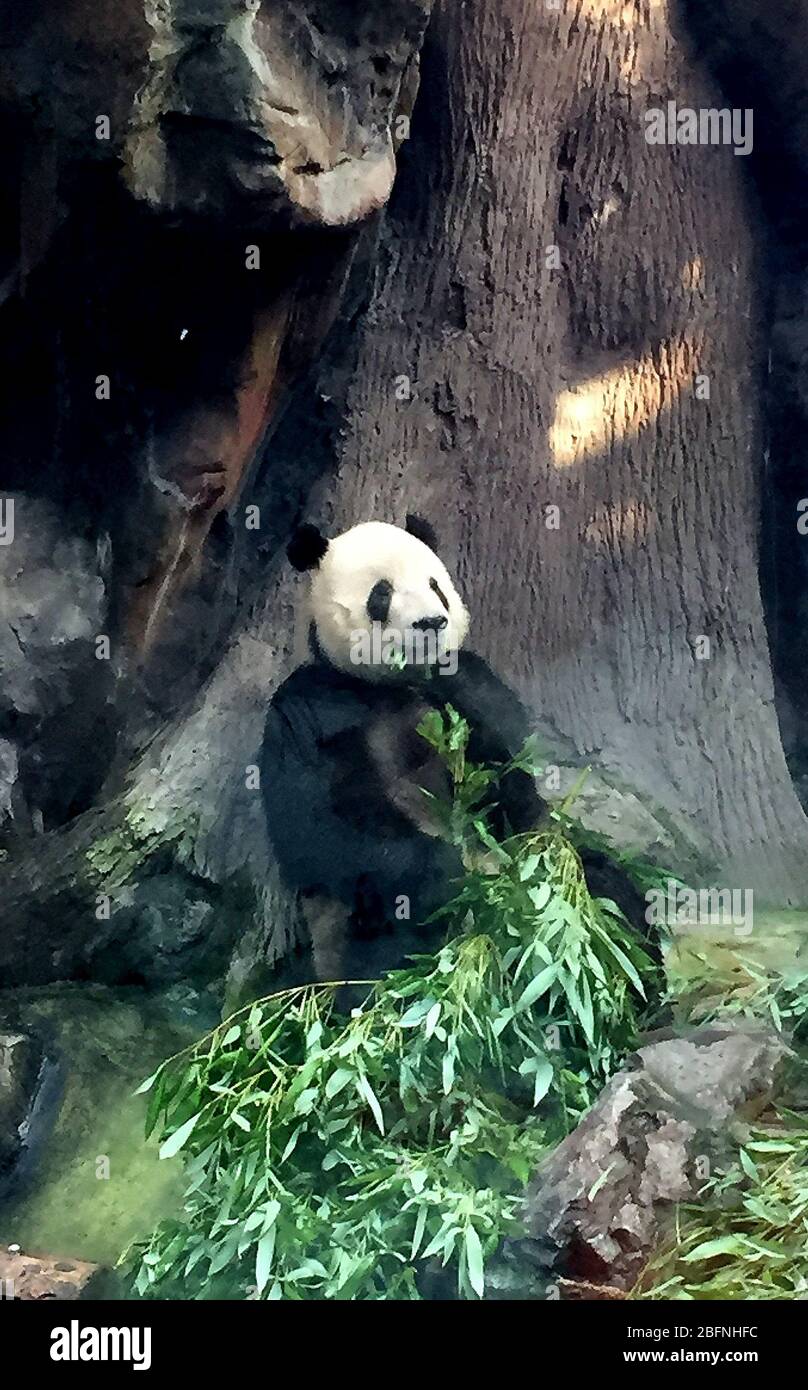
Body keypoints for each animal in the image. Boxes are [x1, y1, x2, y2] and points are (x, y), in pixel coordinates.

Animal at [261, 515, 651, 992]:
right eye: (381, 594)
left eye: (435, 585)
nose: (431, 623)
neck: (394, 685)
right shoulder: (312, 708)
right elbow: (321, 826)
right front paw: (447, 873)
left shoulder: (470, 686)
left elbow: (512, 783)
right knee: (386, 954)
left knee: (604, 886)